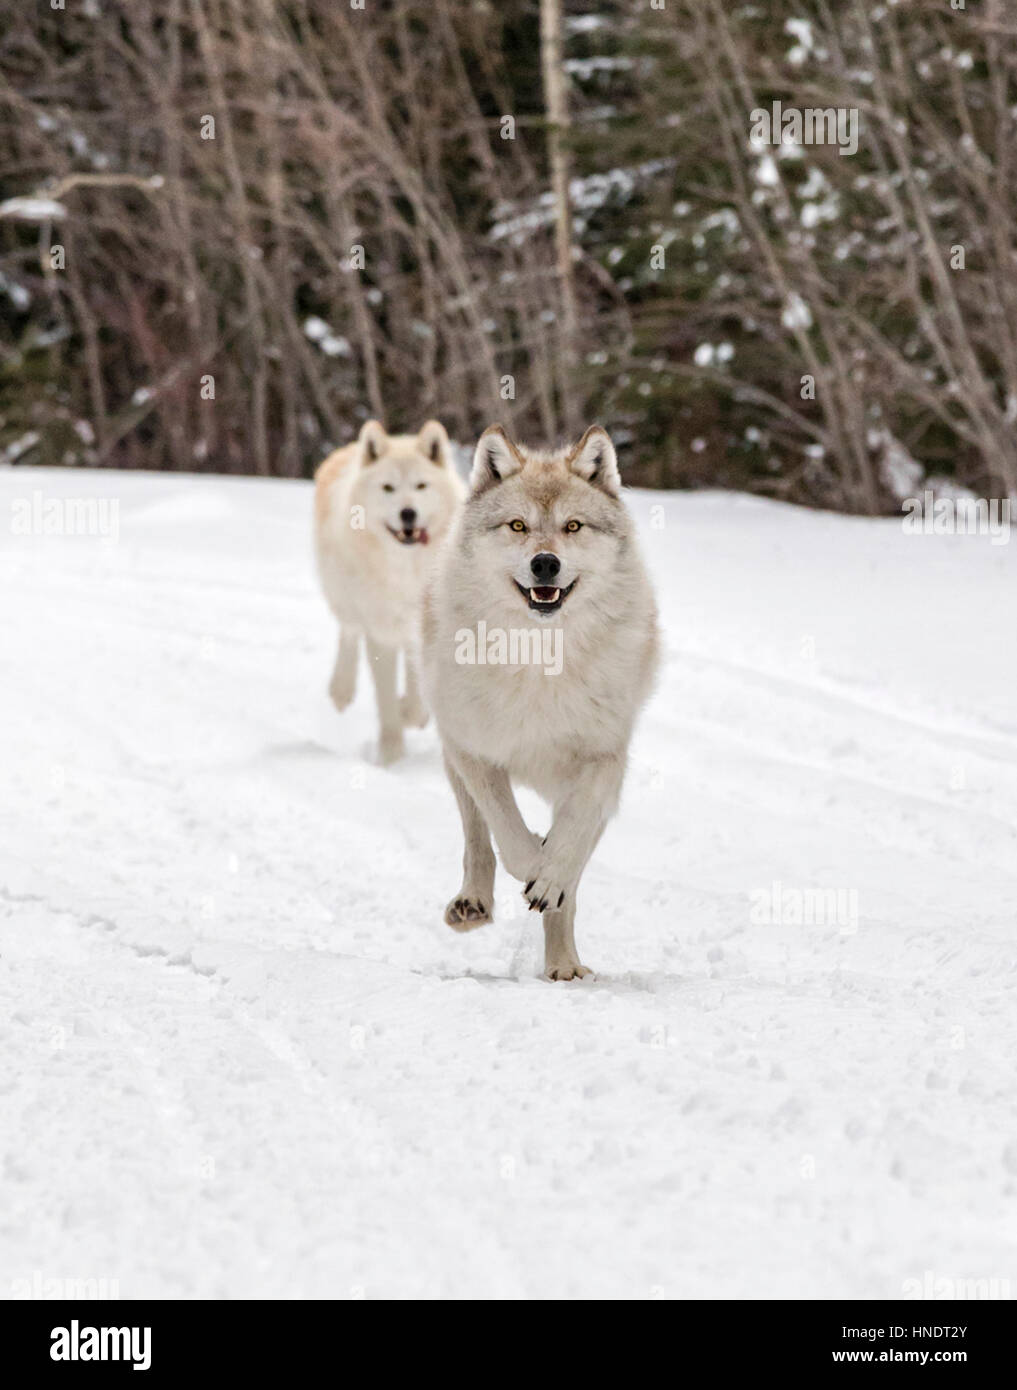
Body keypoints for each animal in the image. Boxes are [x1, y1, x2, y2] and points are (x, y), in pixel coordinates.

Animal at [315, 418, 464, 764]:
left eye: (421, 486)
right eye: (388, 488)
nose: (407, 513)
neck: (406, 573)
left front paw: (412, 713)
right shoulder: (379, 630)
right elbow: (384, 696)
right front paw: (391, 752)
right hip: (344, 598)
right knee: (348, 633)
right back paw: (341, 690)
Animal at [421, 423, 659, 979]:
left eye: (572, 526)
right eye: (517, 525)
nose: (545, 563)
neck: (540, 661)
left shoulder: (604, 760)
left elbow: (570, 846)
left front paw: (551, 878)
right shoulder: (471, 749)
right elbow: (506, 831)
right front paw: (534, 862)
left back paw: (563, 965)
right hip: (452, 755)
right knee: (476, 838)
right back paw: (473, 904)